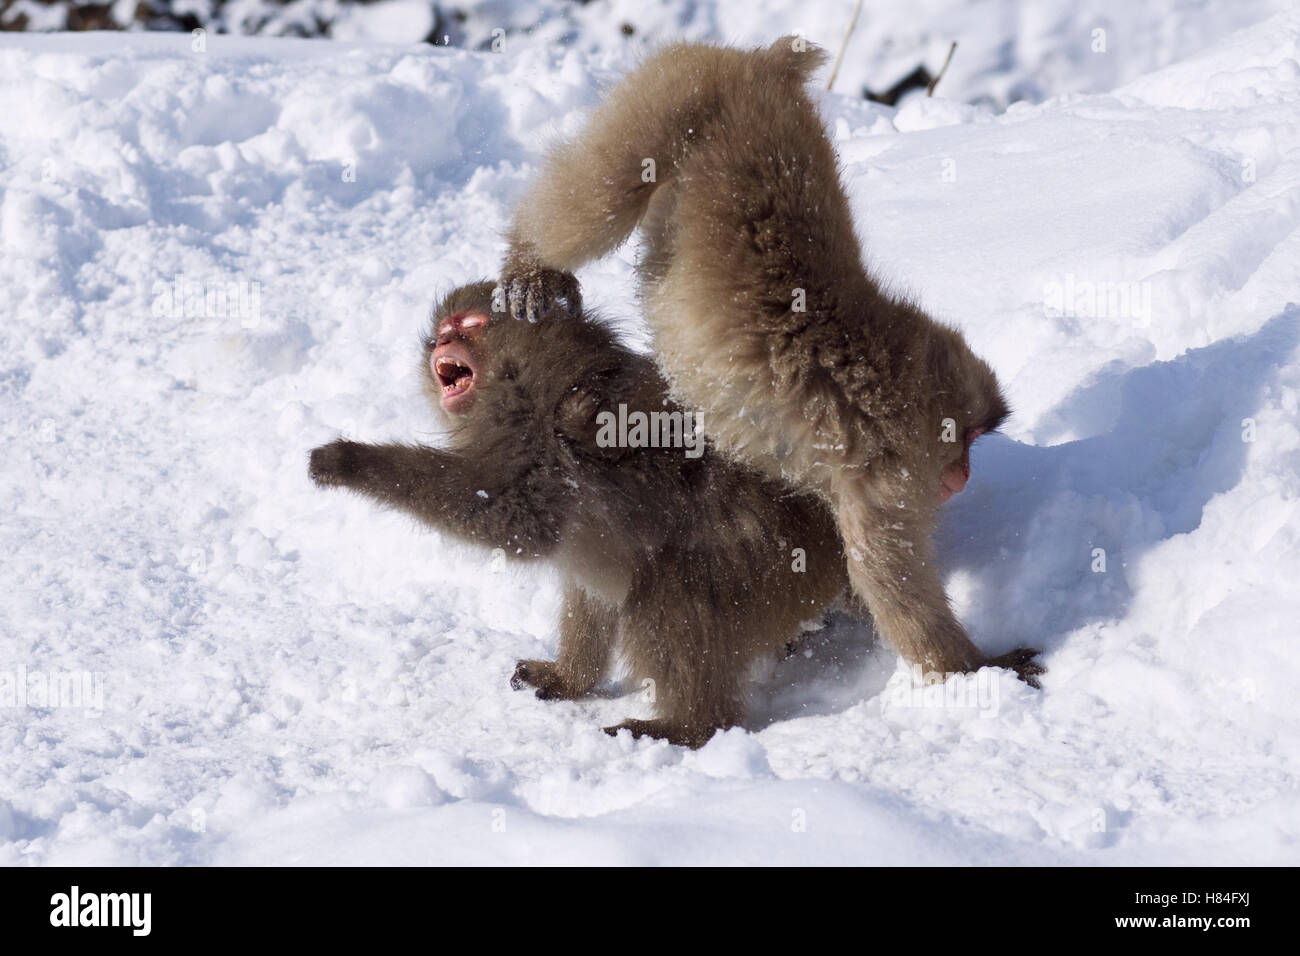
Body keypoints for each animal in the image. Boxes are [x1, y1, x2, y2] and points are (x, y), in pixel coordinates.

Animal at [308, 281, 852, 748]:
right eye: (444, 328)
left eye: (470, 324)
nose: (442, 340)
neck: (527, 383)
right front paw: (569, 677)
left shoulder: (543, 446)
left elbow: (513, 518)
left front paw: (349, 460)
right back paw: (578, 678)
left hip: (767, 565)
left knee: (670, 593)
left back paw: (690, 727)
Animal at [499, 38, 1043, 686]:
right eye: (970, 439)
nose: (963, 476)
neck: (885, 375)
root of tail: (753, 62)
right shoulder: (885, 482)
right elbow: (890, 582)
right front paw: (984, 668)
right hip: (667, 98)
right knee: (601, 195)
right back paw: (528, 263)